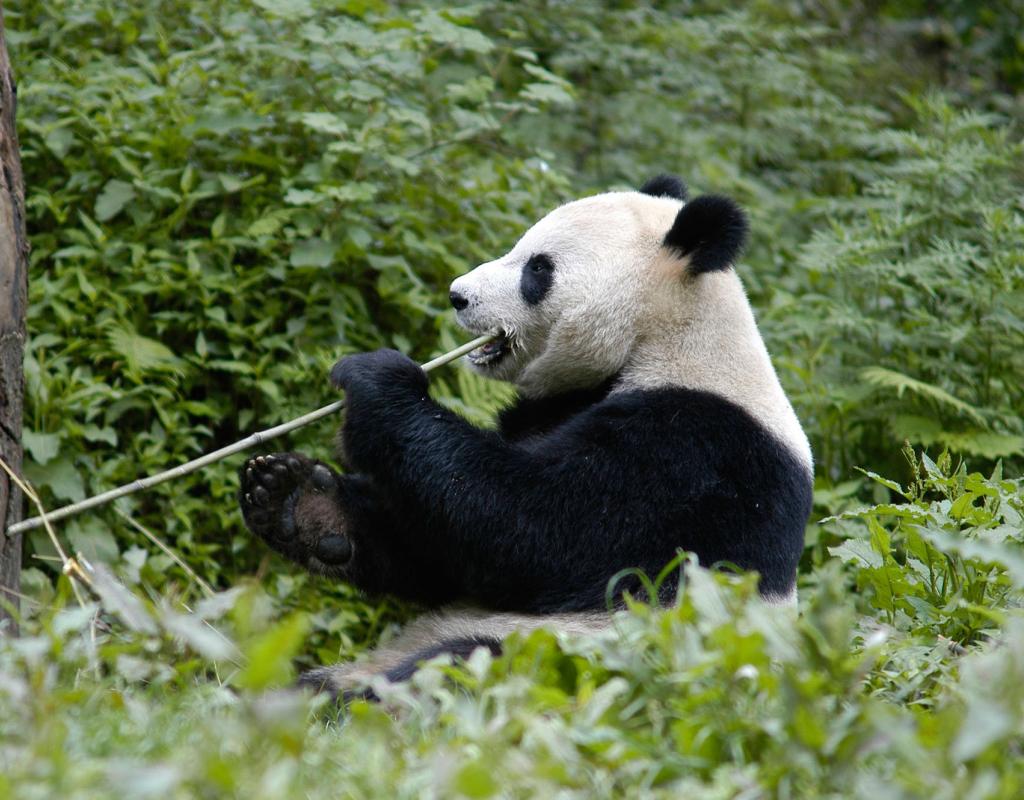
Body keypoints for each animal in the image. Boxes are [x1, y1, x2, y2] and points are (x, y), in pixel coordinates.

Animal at [239, 175, 813, 696]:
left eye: (538, 268)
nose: (458, 295)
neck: (665, 336)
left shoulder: (698, 453)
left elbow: (538, 529)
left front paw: (376, 381)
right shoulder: (552, 407)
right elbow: (442, 550)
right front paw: (296, 498)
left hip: (579, 656)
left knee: (462, 666)